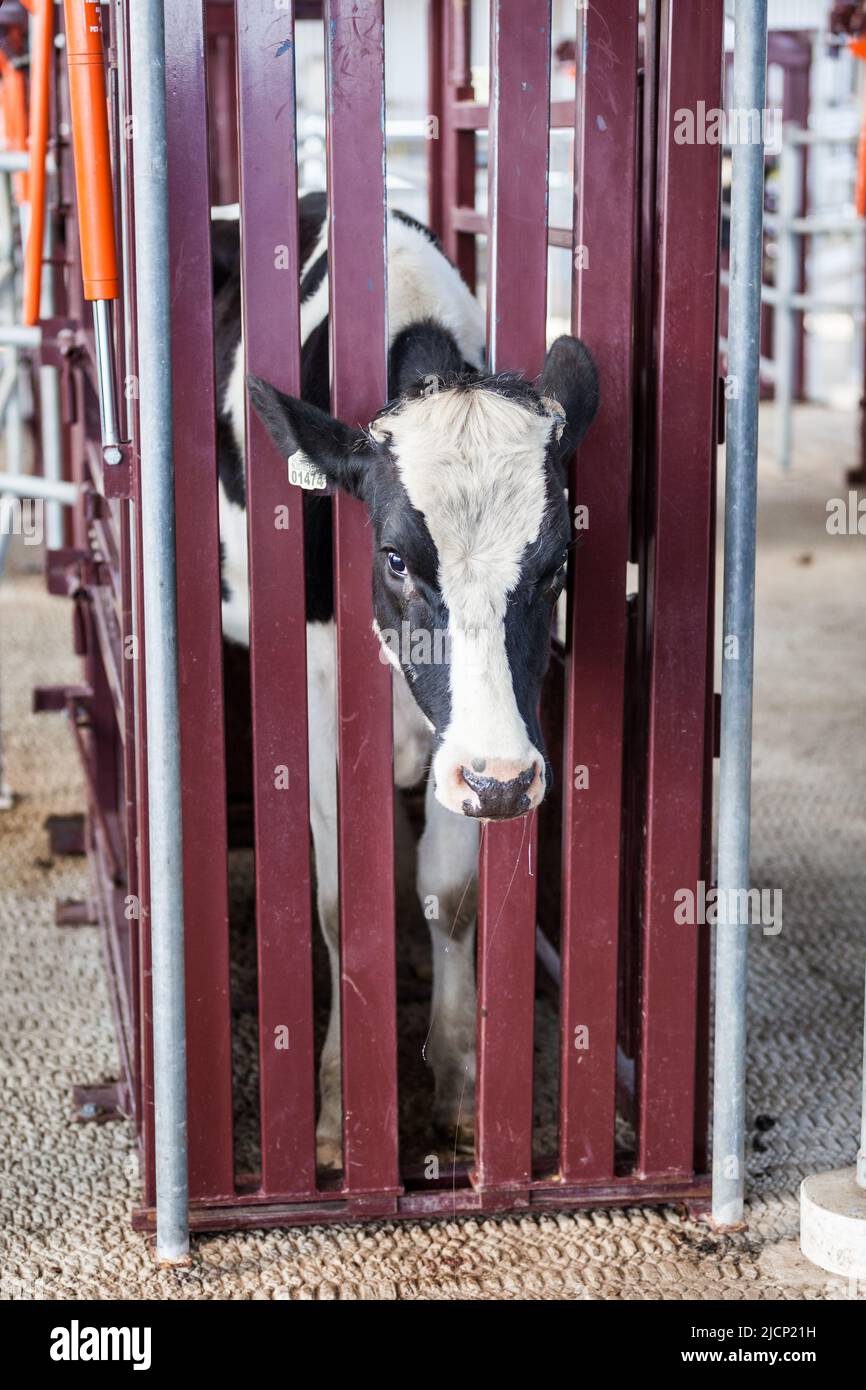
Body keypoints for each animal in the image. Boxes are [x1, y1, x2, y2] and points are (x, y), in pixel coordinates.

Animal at [213, 192, 599, 1167]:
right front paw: (339, 1107)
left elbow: (450, 893)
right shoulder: (319, 692)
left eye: (557, 564)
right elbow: (340, 900)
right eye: (394, 557)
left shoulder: (461, 742)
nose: (505, 781)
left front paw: (459, 1090)